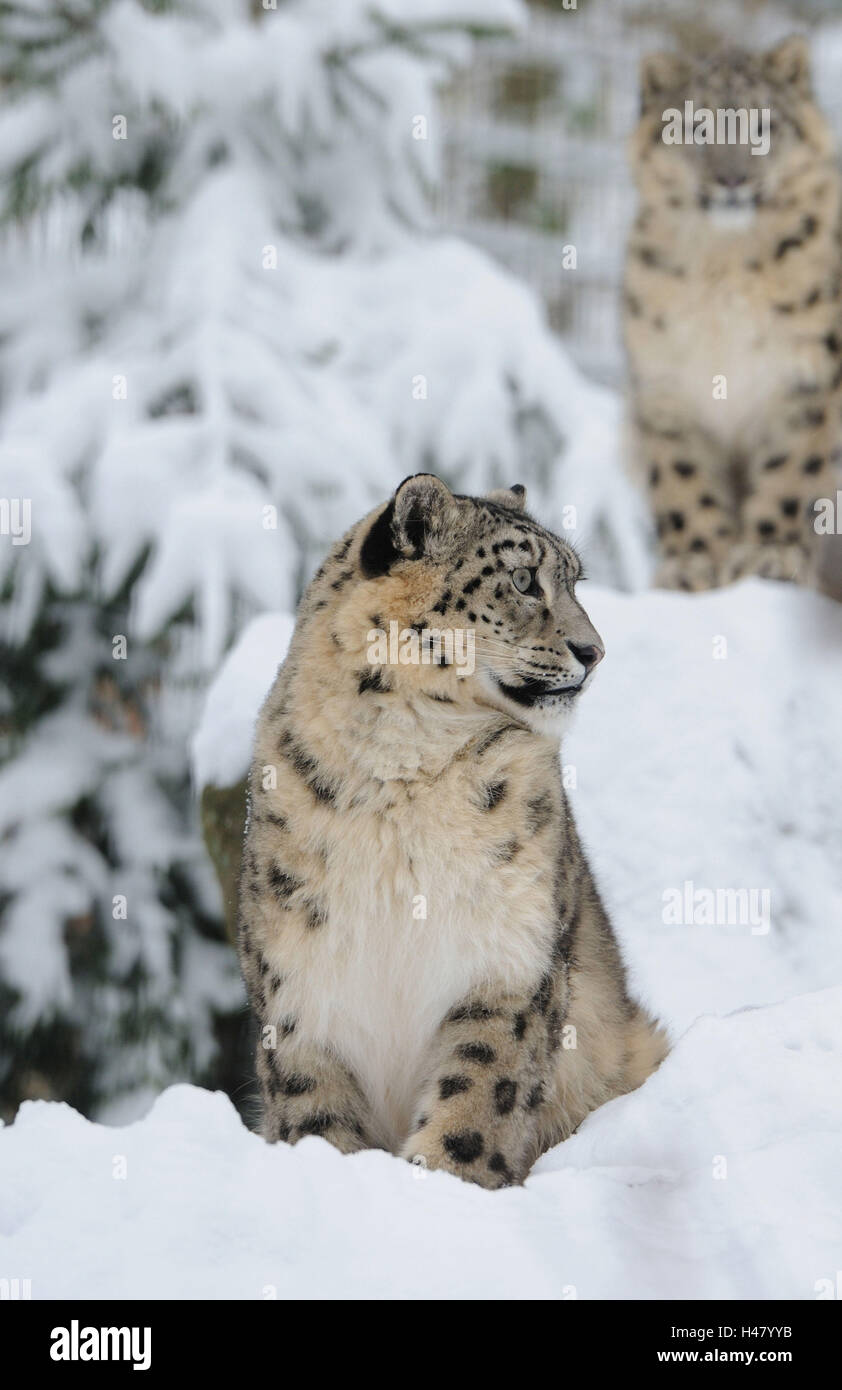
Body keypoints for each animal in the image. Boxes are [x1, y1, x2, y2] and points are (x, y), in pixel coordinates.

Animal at [237, 474, 667, 1189]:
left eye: (575, 580)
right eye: (522, 579)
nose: (595, 651)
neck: (400, 772)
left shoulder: (510, 958)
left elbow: (479, 1096)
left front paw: (442, 1178)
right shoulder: (300, 982)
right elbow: (316, 1111)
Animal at [624, 35, 842, 593]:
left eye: (764, 125)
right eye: (695, 127)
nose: (732, 179)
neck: (725, 266)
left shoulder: (808, 380)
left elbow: (792, 471)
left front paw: (771, 556)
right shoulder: (665, 385)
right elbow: (680, 479)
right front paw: (694, 563)